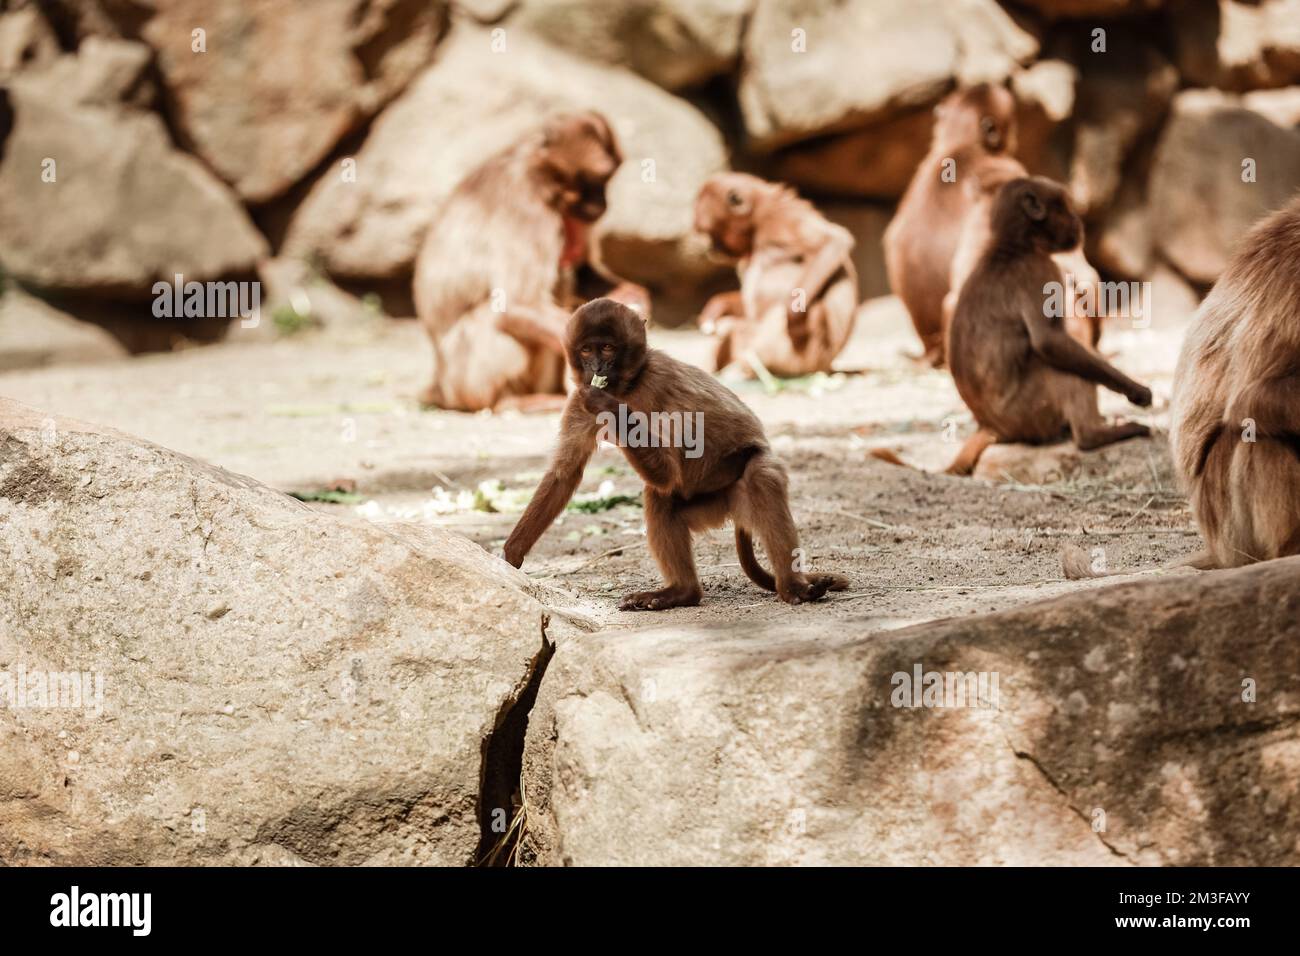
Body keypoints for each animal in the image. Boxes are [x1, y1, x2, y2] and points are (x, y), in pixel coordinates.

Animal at [412, 111, 645, 413]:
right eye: (599, 178)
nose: (601, 204)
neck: (536, 172)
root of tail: (440, 387)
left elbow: (583, 278)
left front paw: (633, 299)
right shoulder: (526, 208)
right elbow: (517, 303)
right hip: (463, 382)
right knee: (492, 315)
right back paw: (514, 401)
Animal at [503, 297, 848, 609]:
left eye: (608, 349)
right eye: (587, 350)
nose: (596, 369)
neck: (629, 386)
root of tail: (732, 508)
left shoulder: (657, 383)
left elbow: (667, 470)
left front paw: (607, 407)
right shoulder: (578, 397)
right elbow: (565, 474)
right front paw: (512, 554)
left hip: (737, 484)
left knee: (760, 478)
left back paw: (791, 586)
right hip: (711, 504)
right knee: (662, 500)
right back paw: (682, 593)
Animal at [692, 172, 857, 378]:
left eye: (713, 235)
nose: (712, 249)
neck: (758, 223)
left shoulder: (781, 215)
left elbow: (833, 241)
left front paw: (794, 318)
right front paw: (718, 307)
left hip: (799, 358)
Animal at [945, 177, 1152, 475]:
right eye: (1065, 207)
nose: (1078, 221)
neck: (1013, 246)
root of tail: (990, 426)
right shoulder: (1041, 269)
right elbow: (1049, 342)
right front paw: (1135, 390)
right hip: (1027, 414)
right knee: (1067, 371)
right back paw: (1094, 436)